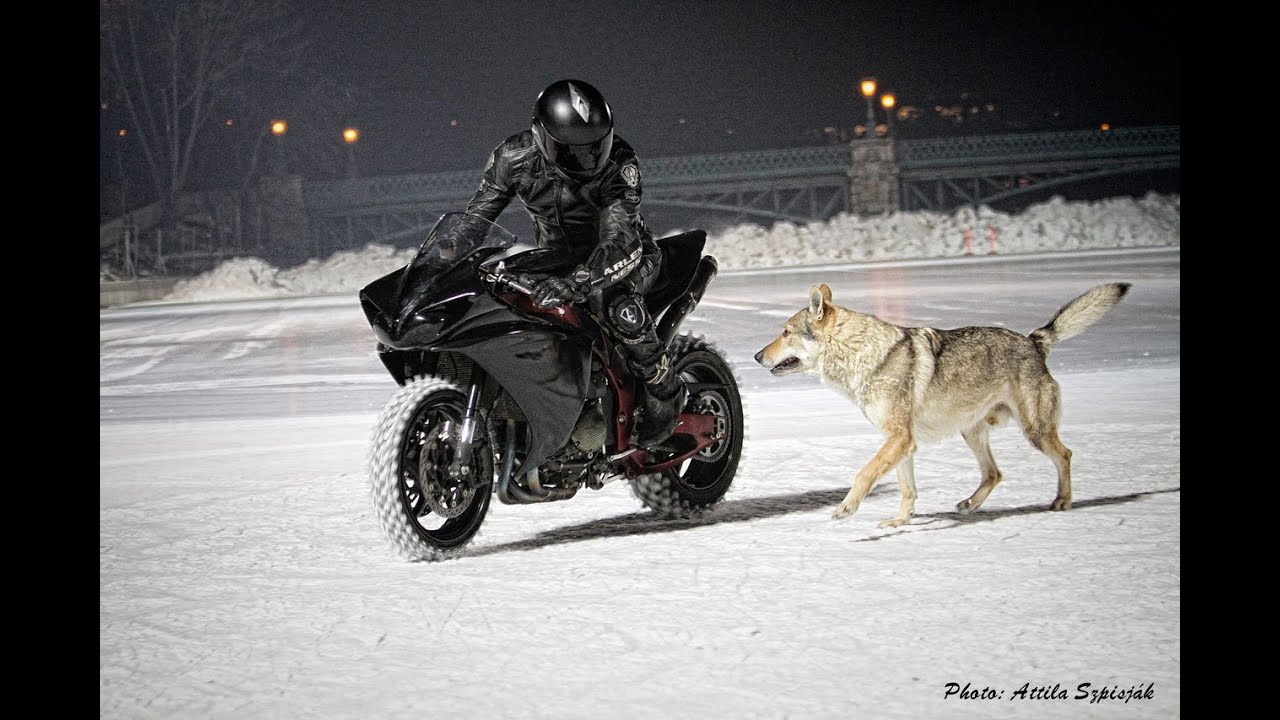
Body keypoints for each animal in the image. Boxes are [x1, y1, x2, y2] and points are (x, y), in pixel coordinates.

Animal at [754, 282, 1132, 527]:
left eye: (785, 332)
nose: (756, 356)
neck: (860, 353)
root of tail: (1034, 341)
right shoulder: (903, 442)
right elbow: (907, 489)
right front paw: (899, 522)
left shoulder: (898, 439)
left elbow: (864, 474)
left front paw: (847, 508)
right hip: (972, 433)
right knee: (995, 473)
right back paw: (969, 504)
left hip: (1034, 431)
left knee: (1064, 455)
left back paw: (1062, 501)